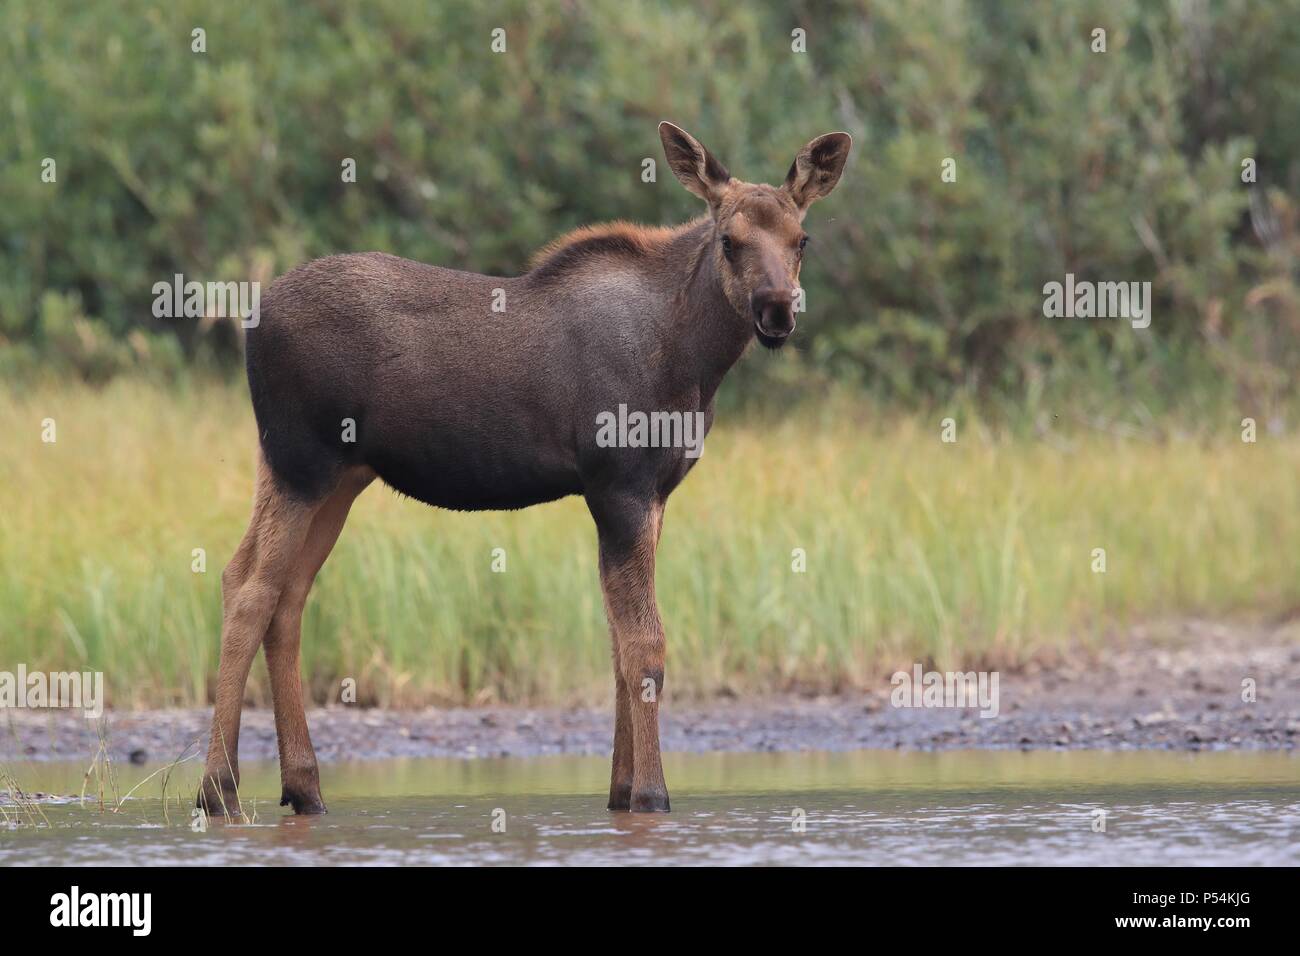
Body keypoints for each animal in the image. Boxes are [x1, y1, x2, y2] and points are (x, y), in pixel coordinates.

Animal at [198, 122, 851, 817]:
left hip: (340, 477)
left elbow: (618, 644)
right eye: (729, 240)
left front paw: (619, 791)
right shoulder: (618, 484)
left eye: (801, 238)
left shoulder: (655, 493)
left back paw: (303, 786)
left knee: (285, 595)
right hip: (299, 463)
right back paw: (218, 788)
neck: (694, 362)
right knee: (248, 587)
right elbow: (646, 646)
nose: (776, 310)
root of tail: (251, 317)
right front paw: (652, 793)